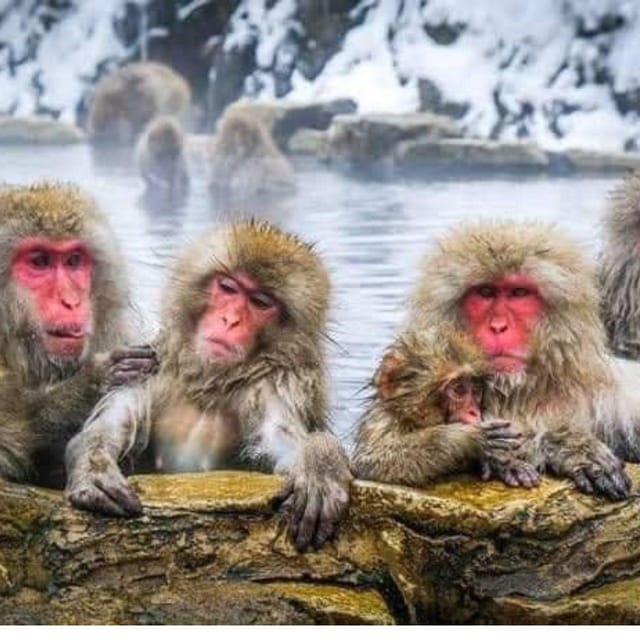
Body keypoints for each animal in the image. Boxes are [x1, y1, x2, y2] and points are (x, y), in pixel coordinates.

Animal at [65, 220, 352, 551]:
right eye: (228, 287)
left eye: (261, 302)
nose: (230, 320)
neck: (207, 384)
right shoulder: (152, 364)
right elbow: (109, 425)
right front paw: (93, 468)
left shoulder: (273, 385)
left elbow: (280, 437)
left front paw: (319, 462)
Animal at [353, 324, 540, 488]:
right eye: (459, 390)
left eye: (476, 390)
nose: (474, 411)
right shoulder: (382, 422)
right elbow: (371, 462)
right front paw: (467, 438)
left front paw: (505, 463)